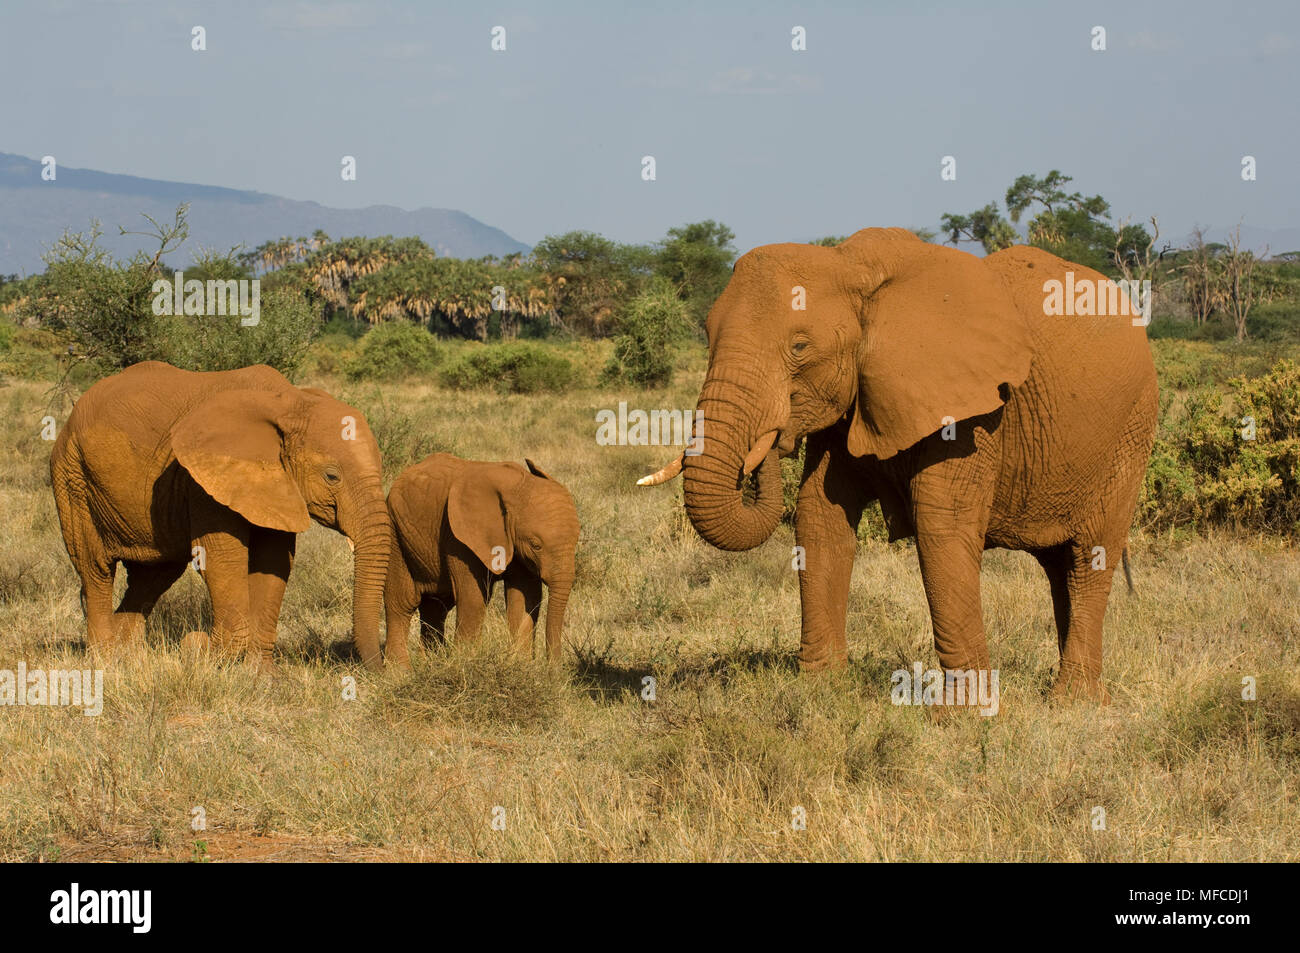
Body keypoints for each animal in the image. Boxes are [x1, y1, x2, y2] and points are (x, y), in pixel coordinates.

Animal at [50, 361, 392, 669]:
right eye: (331, 476)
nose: (380, 667)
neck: (289, 402)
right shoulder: (202, 481)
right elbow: (222, 560)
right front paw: (201, 651)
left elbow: (274, 563)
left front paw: (260, 680)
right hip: (73, 476)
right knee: (96, 569)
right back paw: (105, 663)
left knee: (154, 574)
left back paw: (131, 658)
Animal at [384, 453, 579, 665]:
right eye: (536, 545)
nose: (554, 667)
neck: (515, 487)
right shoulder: (458, 536)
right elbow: (474, 598)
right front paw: (464, 662)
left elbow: (525, 597)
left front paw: (521, 664)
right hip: (396, 533)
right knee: (402, 604)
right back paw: (400, 671)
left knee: (435, 607)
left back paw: (430, 663)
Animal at [640, 228, 1157, 702]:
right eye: (707, 337)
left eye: (800, 347)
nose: (773, 439)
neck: (850, 266)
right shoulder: (855, 395)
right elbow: (820, 518)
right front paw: (822, 690)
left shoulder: (970, 412)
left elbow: (941, 527)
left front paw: (968, 715)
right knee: (1058, 566)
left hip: (1131, 433)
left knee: (1090, 557)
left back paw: (1072, 700)